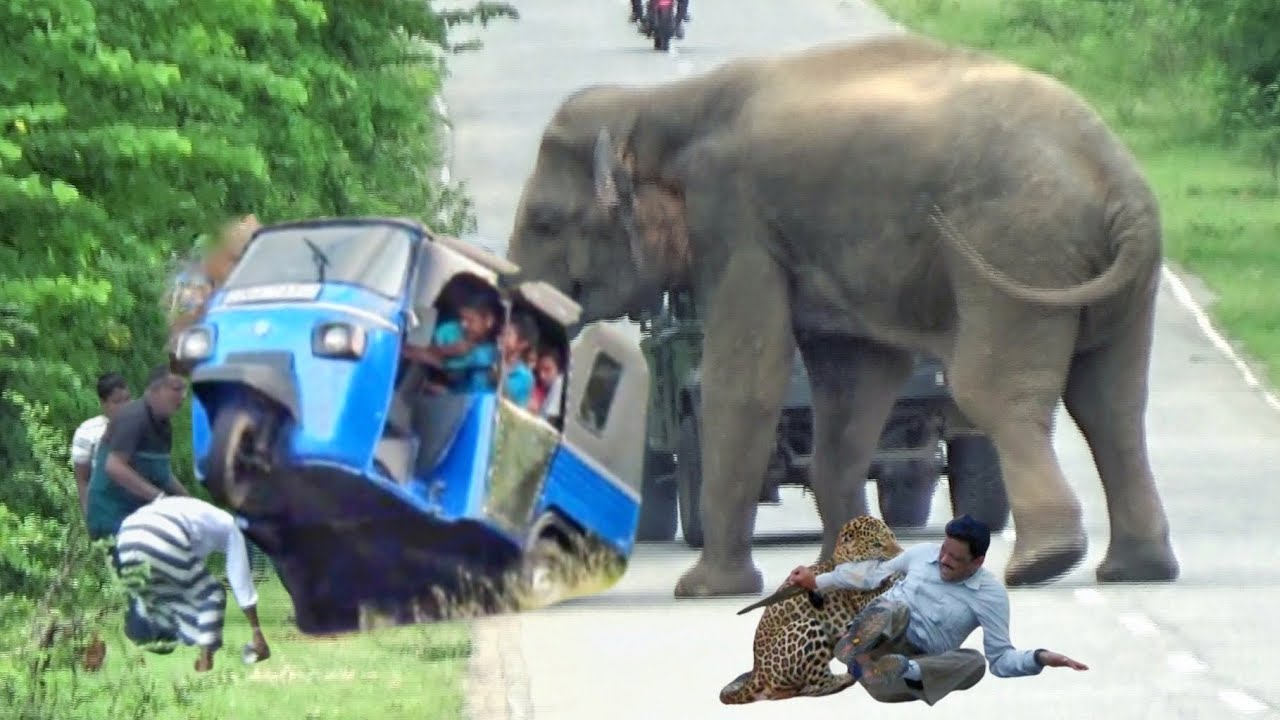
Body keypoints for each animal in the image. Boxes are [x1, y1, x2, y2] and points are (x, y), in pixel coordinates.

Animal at [505, 32, 1180, 598]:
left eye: (543, 221)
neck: (654, 107)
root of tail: (1122, 189)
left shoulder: (736, 223)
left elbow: (744, 383)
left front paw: (704, 590)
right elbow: (855, 389)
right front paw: (842, 572)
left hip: (1019, 253)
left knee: (993, 392)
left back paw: (1040, 566)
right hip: (1114, 279)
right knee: (1111, 405)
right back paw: (1135, 569)